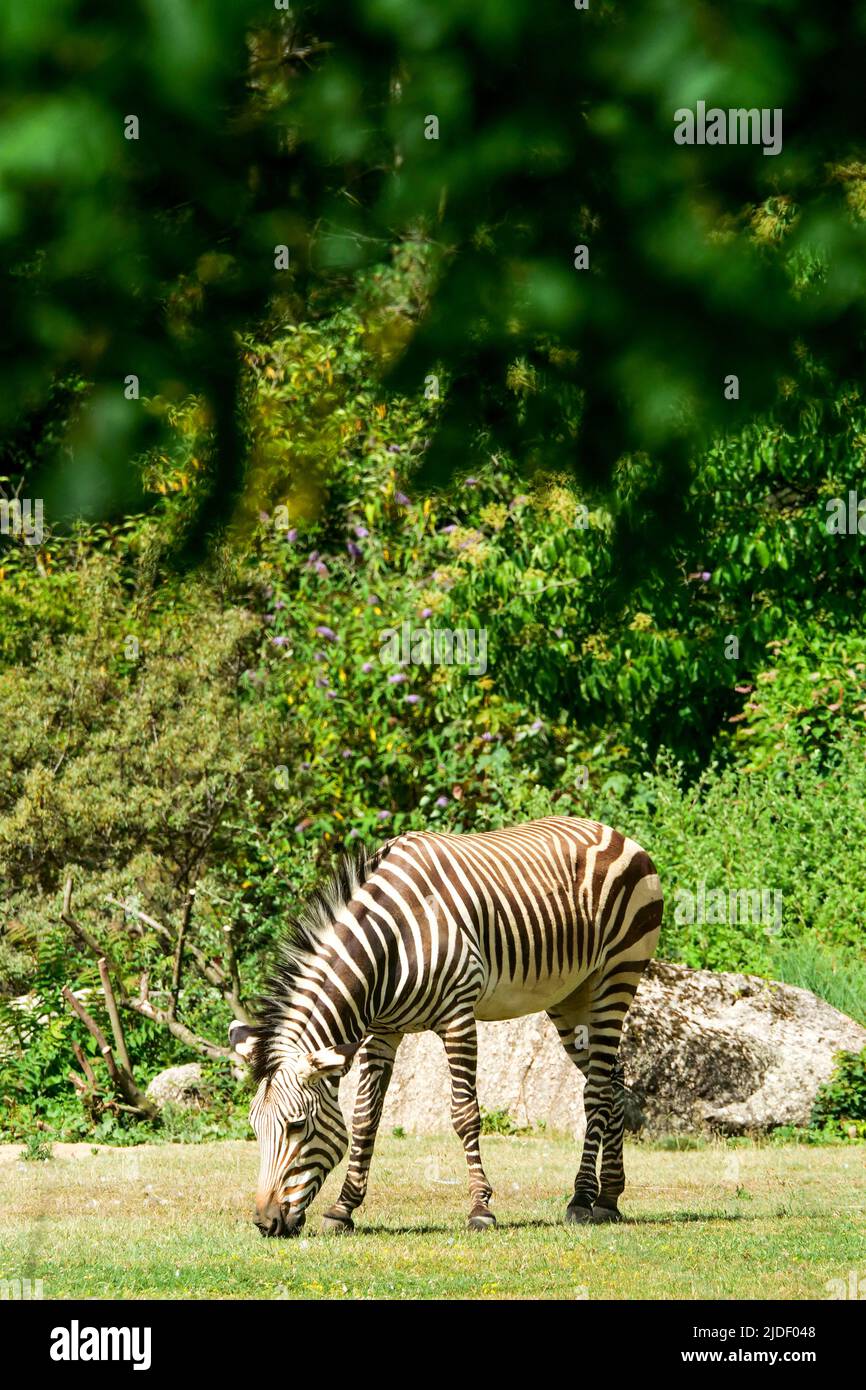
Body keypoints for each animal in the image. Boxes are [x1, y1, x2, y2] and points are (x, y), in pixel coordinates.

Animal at [230, 814, 663, 1236]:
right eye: (255, 1128)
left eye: (297, 1126)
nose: (266, 1223)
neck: (391, 944)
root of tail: (613, 832)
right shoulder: (381, 1032)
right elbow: (365, 1118)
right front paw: (343, 1209)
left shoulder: (458, 1016)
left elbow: (464, 1114)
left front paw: (480, 1209)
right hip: (570, 995)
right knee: (613, 1078)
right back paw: (609, 1198)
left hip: (617, 974)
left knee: (596, 1091)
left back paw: (582, 1198)